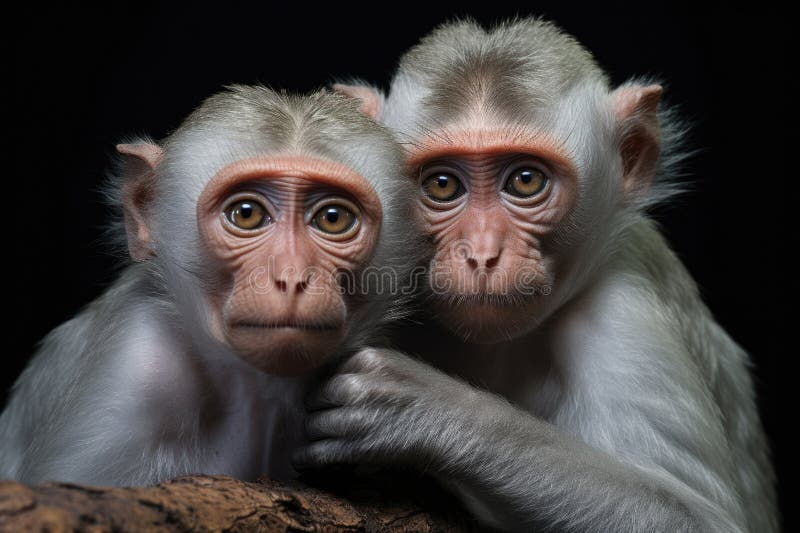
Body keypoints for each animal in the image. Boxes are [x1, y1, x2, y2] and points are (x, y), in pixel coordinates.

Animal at [296, 18, 779, 532]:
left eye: (526, 180)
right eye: (442, 185)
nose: (482, 253)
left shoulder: (623, 314)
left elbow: (693, 517)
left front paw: (421, 411)